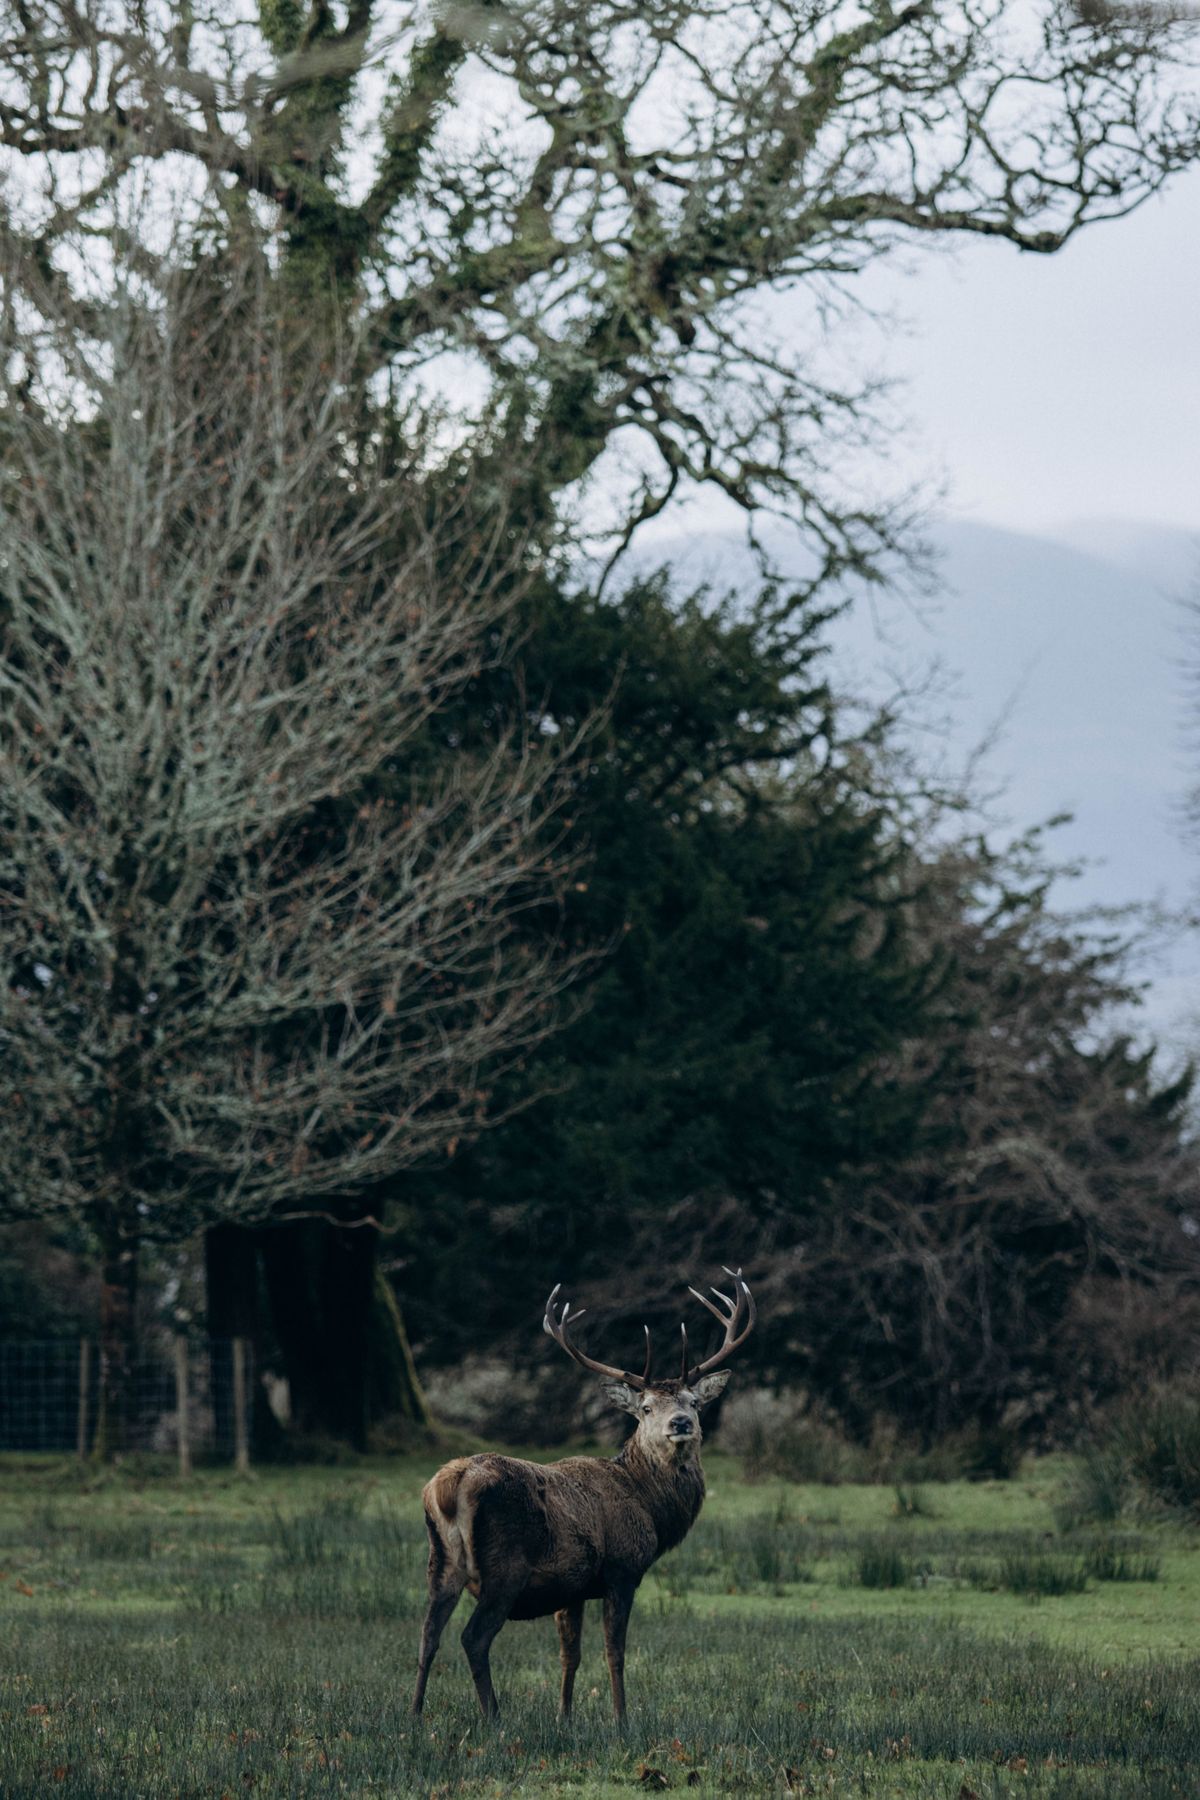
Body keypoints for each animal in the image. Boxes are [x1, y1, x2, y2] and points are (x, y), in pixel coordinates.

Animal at [411, 1268, 755, 1721]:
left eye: (695, 1401)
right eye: (646, 1408)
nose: (680, 1423)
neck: (649, 1506)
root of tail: (451, 1484)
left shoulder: (571, 1586)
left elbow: (569, 1655)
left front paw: (564, 1717)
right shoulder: (622, 1569)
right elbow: (615, 1653)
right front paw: (622, 1720)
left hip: (440, 1561)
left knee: (427, 1634)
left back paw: (414, 1715)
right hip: (504, 1565)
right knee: (474, 1638)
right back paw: (494, 1718)